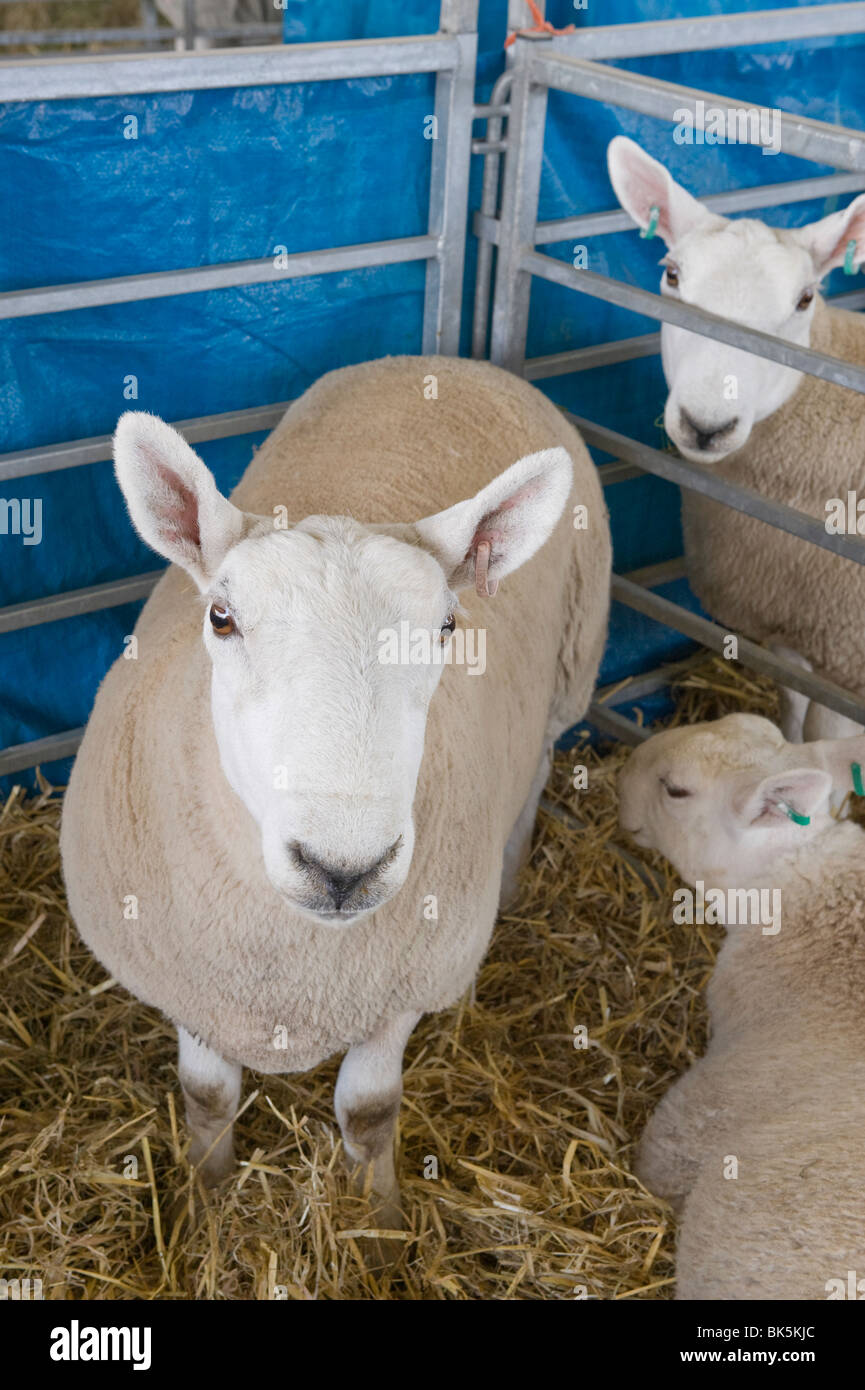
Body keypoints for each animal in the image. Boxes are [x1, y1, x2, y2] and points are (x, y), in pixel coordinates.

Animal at [59, 354, 611, 1222]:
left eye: (447, 629)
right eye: (221, 617)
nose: (343, 869)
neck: (300, 965)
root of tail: (452, 362)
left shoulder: (400, 988)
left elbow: (368, 1112)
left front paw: (377, 1222)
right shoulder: (192, 983)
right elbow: (207, 1097)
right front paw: (209, 1204)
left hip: (568, 678)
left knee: (540, 773)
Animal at [608, 135, 865, 745]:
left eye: (805, 299)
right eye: (672, 275)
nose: (706, 424)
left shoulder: (848, 656)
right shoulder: (789, 626)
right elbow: (794, 711)